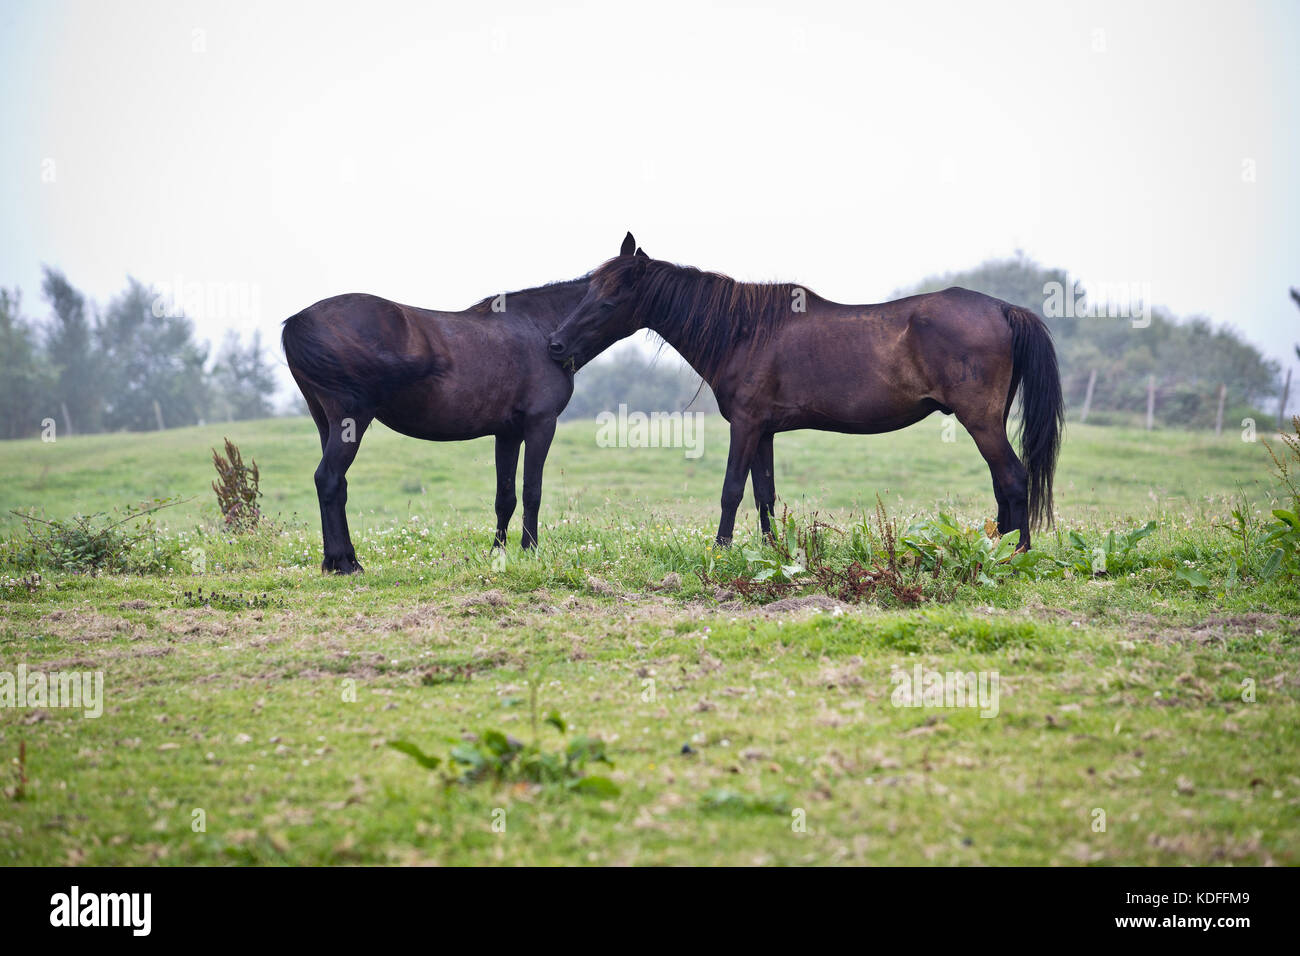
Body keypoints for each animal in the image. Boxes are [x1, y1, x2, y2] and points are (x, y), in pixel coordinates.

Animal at [281, 233, 649, 573]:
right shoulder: (541, 423)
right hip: (351, 420)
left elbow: (505, 497)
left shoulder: (508, 433)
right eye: (601, 302)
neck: (539, 327)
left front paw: (498, 553)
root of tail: (296, 322)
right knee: (328, 479)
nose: (558, 344)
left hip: (325, 422)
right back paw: (344, 563)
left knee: (338, 484)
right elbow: (532, 490)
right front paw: (530, 550)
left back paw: (340, 559)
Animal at [547, 236, 1063, 549]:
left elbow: (731, 490)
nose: (555, 345)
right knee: (1003, 484)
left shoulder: (745, 425)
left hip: (980, 421)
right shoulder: (764, 431)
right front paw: (771, 553)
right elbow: (764, 494)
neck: (743, 331)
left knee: (1013, 479)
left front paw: (720, 550)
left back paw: (1015, 554)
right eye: (587, 292)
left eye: (608, 301)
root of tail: (1004, 309)